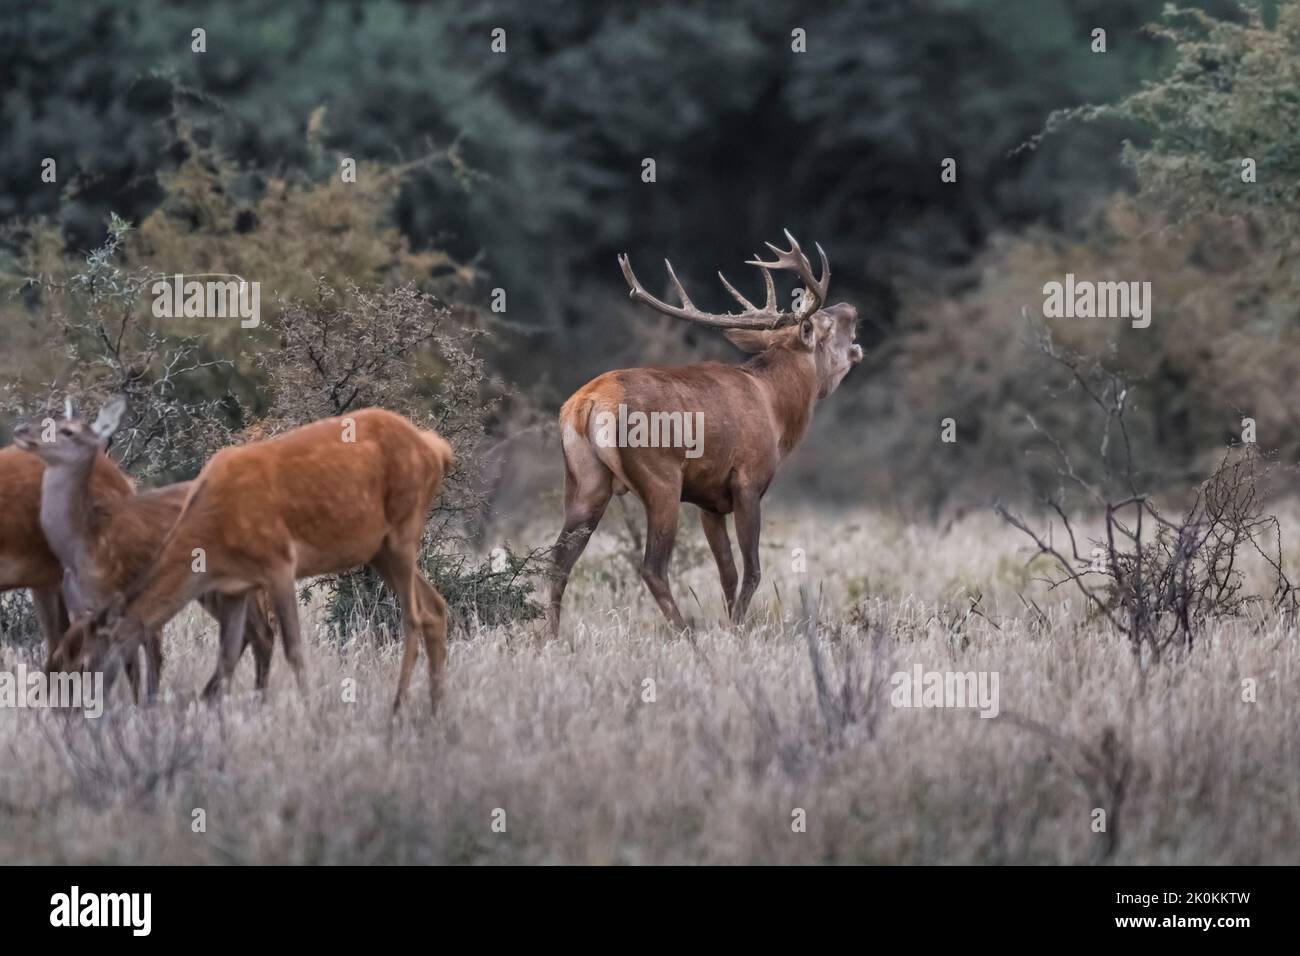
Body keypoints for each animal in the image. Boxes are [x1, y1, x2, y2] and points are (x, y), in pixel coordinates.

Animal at [12, 398, 276, 702]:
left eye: (67, 430)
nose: (20, 430)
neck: (84, 542)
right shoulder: (83, 606)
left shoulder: (118, 598)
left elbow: (127, 662)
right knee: (245, 634)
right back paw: (211, 696)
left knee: (263, 634)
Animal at [50, 407, 454, 714]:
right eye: (55, 661)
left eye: (84, 663)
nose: (73, 714)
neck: (212, 534)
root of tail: (437, 449)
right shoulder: (234, 587)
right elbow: (227, 656)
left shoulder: (278, 563)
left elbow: (294, 649)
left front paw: (312, 714)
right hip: (379, 548)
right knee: (435, 607)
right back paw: (436, 712)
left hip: (404, 528)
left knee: (414, 616)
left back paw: (398, 710)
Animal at [548, 230, 863, 636]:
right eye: (825, 324)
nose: (850, 308)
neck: (776, 410)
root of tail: (586, 405)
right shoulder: (747, 480)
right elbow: (752, 571)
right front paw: (738, 631)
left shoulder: (709, 501)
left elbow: (727, 573)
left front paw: (731, 624)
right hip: (660, 479)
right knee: (652, 567)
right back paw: (686, 636)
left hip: (584, 481)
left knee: (559, 561)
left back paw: (551, 638)